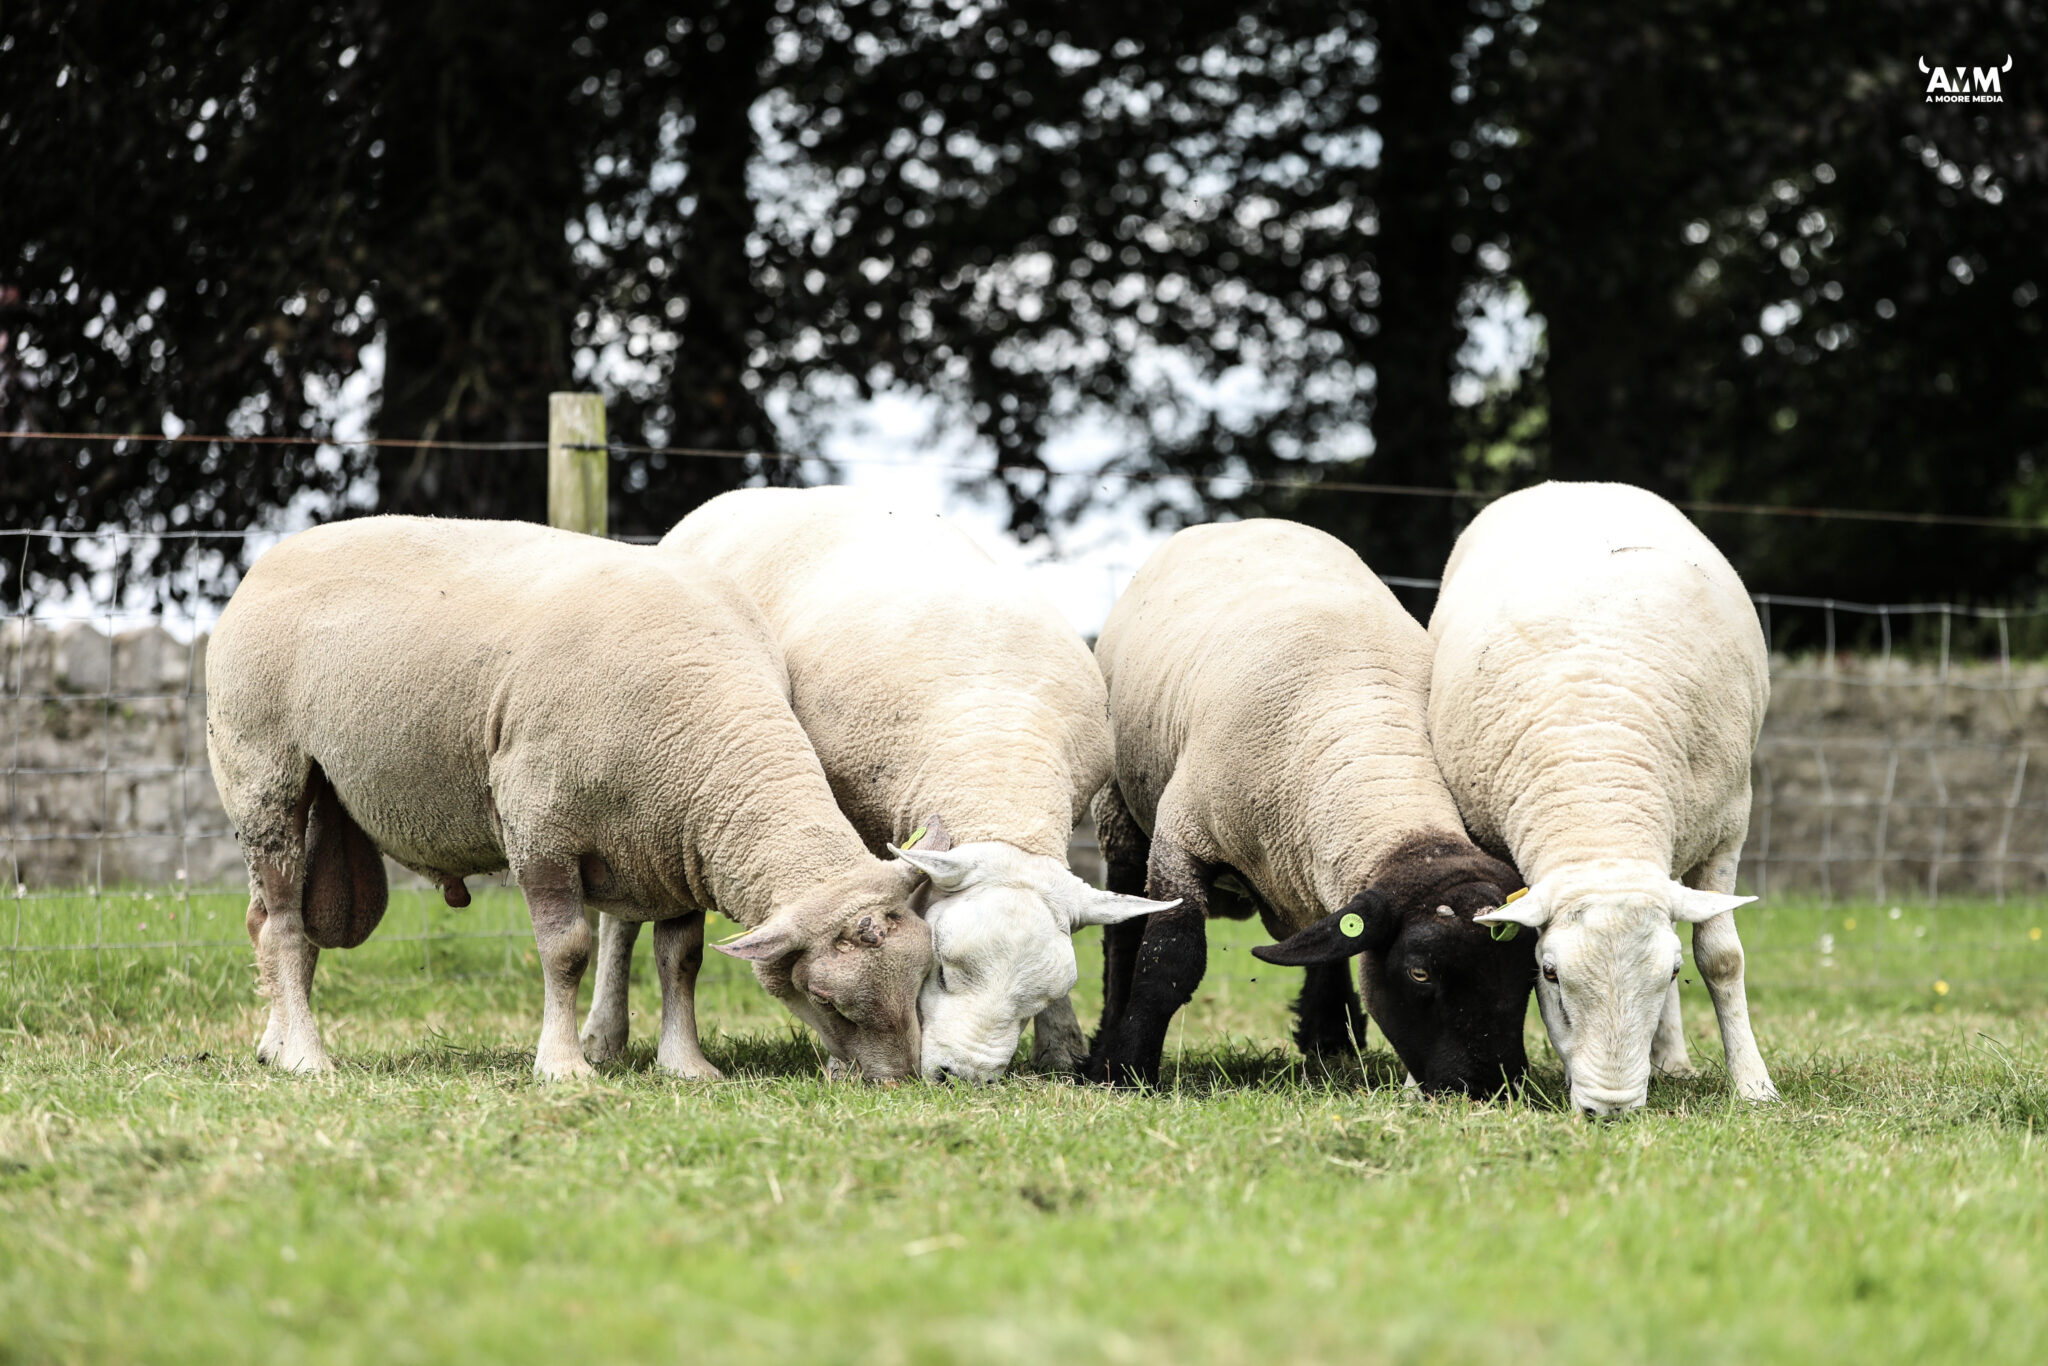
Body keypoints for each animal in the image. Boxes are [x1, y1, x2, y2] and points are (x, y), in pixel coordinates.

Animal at [204, 515, 936, 1082]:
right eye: (827, 999)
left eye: (925, 976)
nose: (898, 1080)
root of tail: (272, 556)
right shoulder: (539, 828)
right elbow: (568, 950)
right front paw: (562, 1066)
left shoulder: (675, 844)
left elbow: (681, 961)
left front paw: (686, 1065)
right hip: (262, 773)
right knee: (284, 927)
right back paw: (305, 1056)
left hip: (320, 797)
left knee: (272, 922)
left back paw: (273, 1044)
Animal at [580, 487, 1173, 1083]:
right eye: (944, 969)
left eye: (1038, 998)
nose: (961, 1076)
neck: (994, 741)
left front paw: (1061, 1046)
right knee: (619, 924)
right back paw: (603, 1036)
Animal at [1086, 519, 1536, 1095]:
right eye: (1420, 972)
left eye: (1530, 973)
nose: (1488, 1088)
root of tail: (1243, 523)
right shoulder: (1181, 838)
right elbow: (1168, 961)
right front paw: (1125, 1070)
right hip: (1120, 809)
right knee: (1122, 930)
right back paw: (1104, 1045)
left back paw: (1329, 1038)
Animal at [1432, 481, 1776, 1117]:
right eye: (1549, 974)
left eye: (1671, 972)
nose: (1610, 1109)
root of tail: (1571, 485)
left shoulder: (1727, 830)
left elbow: (1721, 958)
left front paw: (1753, 1085)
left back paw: (1674, 1061)